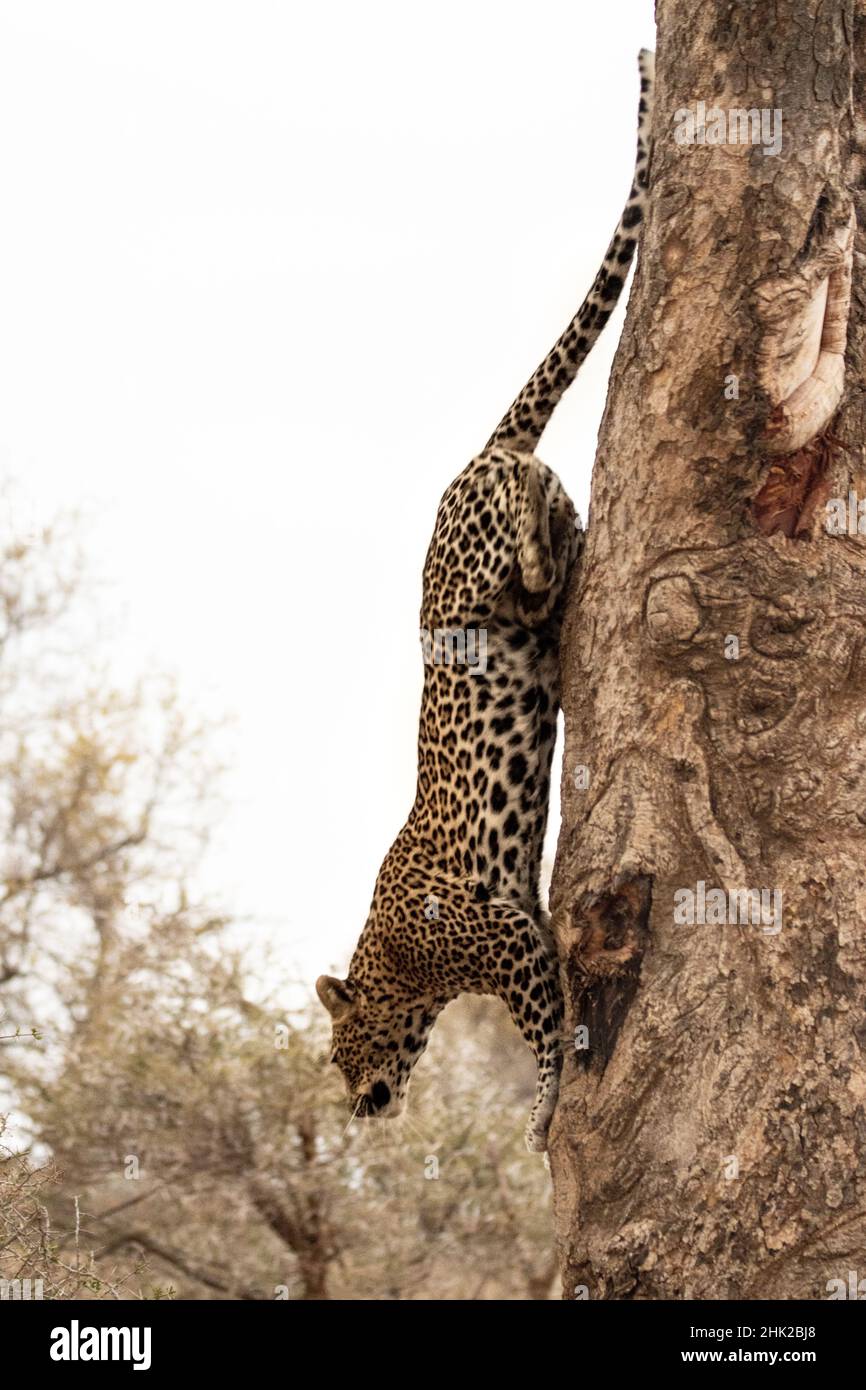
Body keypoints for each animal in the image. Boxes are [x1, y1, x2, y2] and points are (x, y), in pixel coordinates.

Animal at [317, 51, 654, 1152]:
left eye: (337, 1053)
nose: (354, 1105)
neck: (394, 965)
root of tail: (476, 449)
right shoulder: (519, 922)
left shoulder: (503, 935)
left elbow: (546, 1020)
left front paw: (545, 1111)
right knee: (544, 493)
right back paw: (565, 532)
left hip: (463, 573)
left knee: (521, 507)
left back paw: (545, 545)